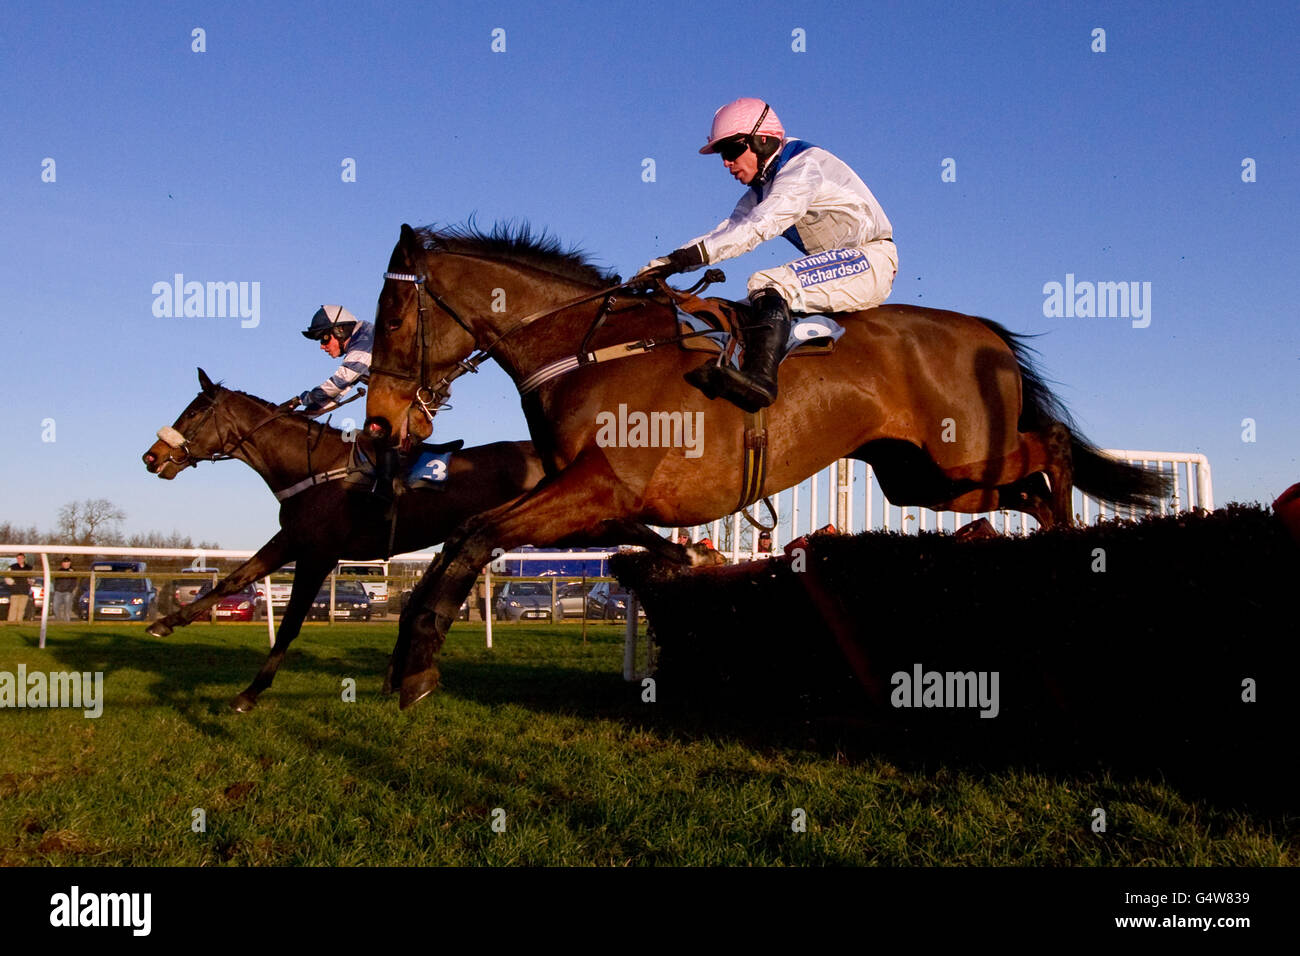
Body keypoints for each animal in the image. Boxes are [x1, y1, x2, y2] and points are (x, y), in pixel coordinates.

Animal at [141, 369, 550, 711]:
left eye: (194, 413)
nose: (151, 457)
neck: (317, 466)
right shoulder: (293, 538)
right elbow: (235, 578)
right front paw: (168, 622)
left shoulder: (319, 553)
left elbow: (290, 624)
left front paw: (251, 692)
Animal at [363, 222, 1172, 708]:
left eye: (393, 318)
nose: (380, 423)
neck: (590, 347)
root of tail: (986, 332)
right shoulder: (600, 497)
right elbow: (611, 542)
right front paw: (688, 562)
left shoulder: (599, 483)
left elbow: (471, 536)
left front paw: (415, 664)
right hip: (930, 480)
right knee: (1027, 491)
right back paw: (1055, 540)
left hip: (961, 452)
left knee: (1053, 449)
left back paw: (1070, 544)